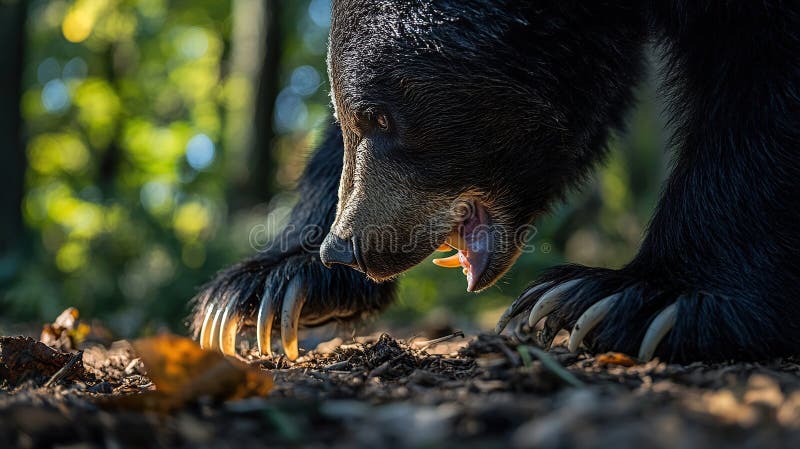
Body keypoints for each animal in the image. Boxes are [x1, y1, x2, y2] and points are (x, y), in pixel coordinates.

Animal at [192, 0, 800, 363]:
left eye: (383, 117)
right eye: (353, 115)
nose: (344, 246)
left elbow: (764, 88)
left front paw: (628, 297)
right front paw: (266, 286)